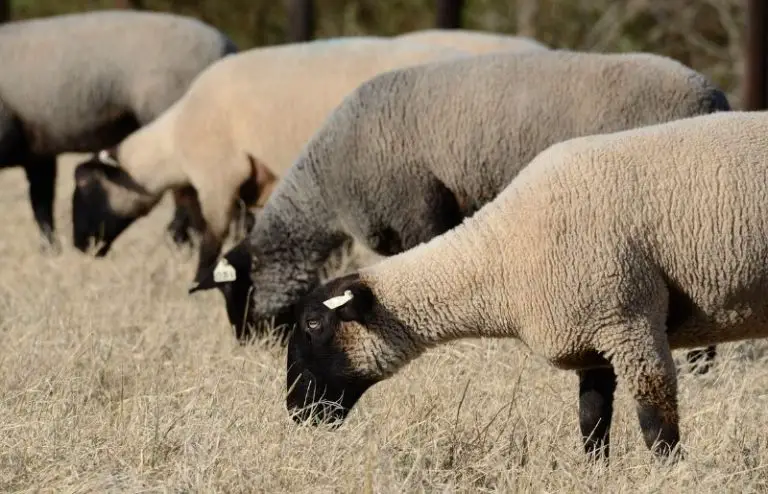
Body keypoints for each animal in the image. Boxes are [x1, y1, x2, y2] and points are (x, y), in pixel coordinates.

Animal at [70, 36, 478, 284]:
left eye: (87, 187)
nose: (78, 246)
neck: (173, 144)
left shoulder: (219, 177)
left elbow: (211, 237)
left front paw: (199, 282)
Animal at [284, 110, 768, 460]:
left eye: (313, 324)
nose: (295, 411)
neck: (499, 259)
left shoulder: (628, 320)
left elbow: (656, 422)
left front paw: (670, 474)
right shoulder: (591, 334)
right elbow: (592, 421)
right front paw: (596, 474)